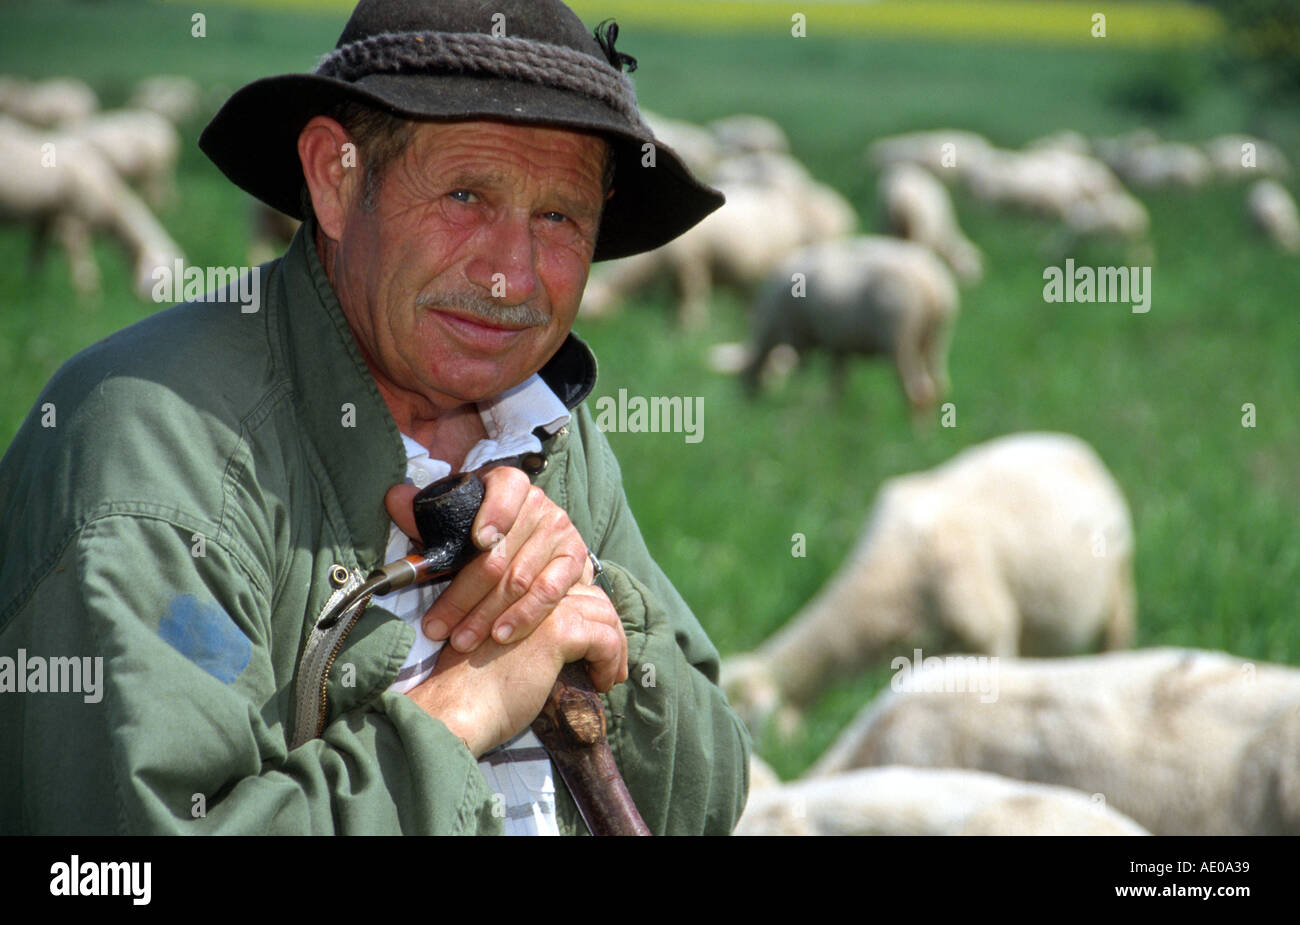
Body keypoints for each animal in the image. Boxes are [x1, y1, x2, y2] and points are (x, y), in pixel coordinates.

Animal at [738, 235, 959, 415]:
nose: (745, 403)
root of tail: (932, 284)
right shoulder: (839, 343)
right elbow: (838, 381)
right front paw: (833, 411)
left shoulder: (799, 334)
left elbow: (812, 373)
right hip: (935, 338)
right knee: (939, 386)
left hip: (900, 337)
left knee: (918, 392)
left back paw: (914, 434)